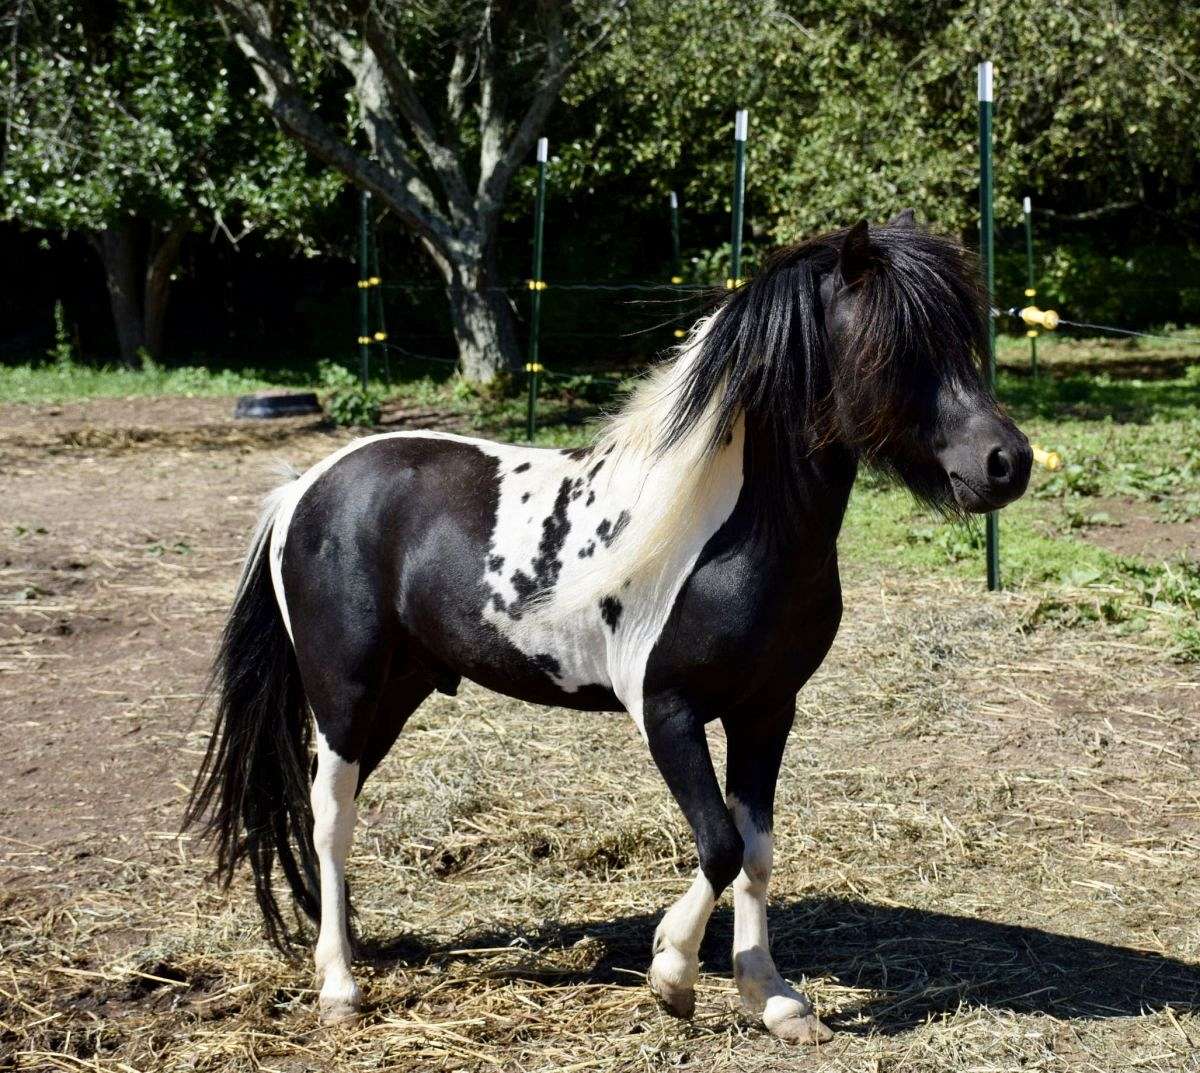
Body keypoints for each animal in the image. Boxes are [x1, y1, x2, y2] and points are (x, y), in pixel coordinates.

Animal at [185, 212, 1032, 1044]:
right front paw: (672, 973)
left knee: (333, 811)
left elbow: (756, 849)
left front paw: (773, 996)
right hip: (345, 692)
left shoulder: (767, 710)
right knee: (331, 818)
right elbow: (720, 843)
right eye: (896, 347)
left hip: (398, 692)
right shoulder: (667, 711)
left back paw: (353, 946)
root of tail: (304, 488)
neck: (727, 537)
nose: (1008, 461)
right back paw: (339, 984)